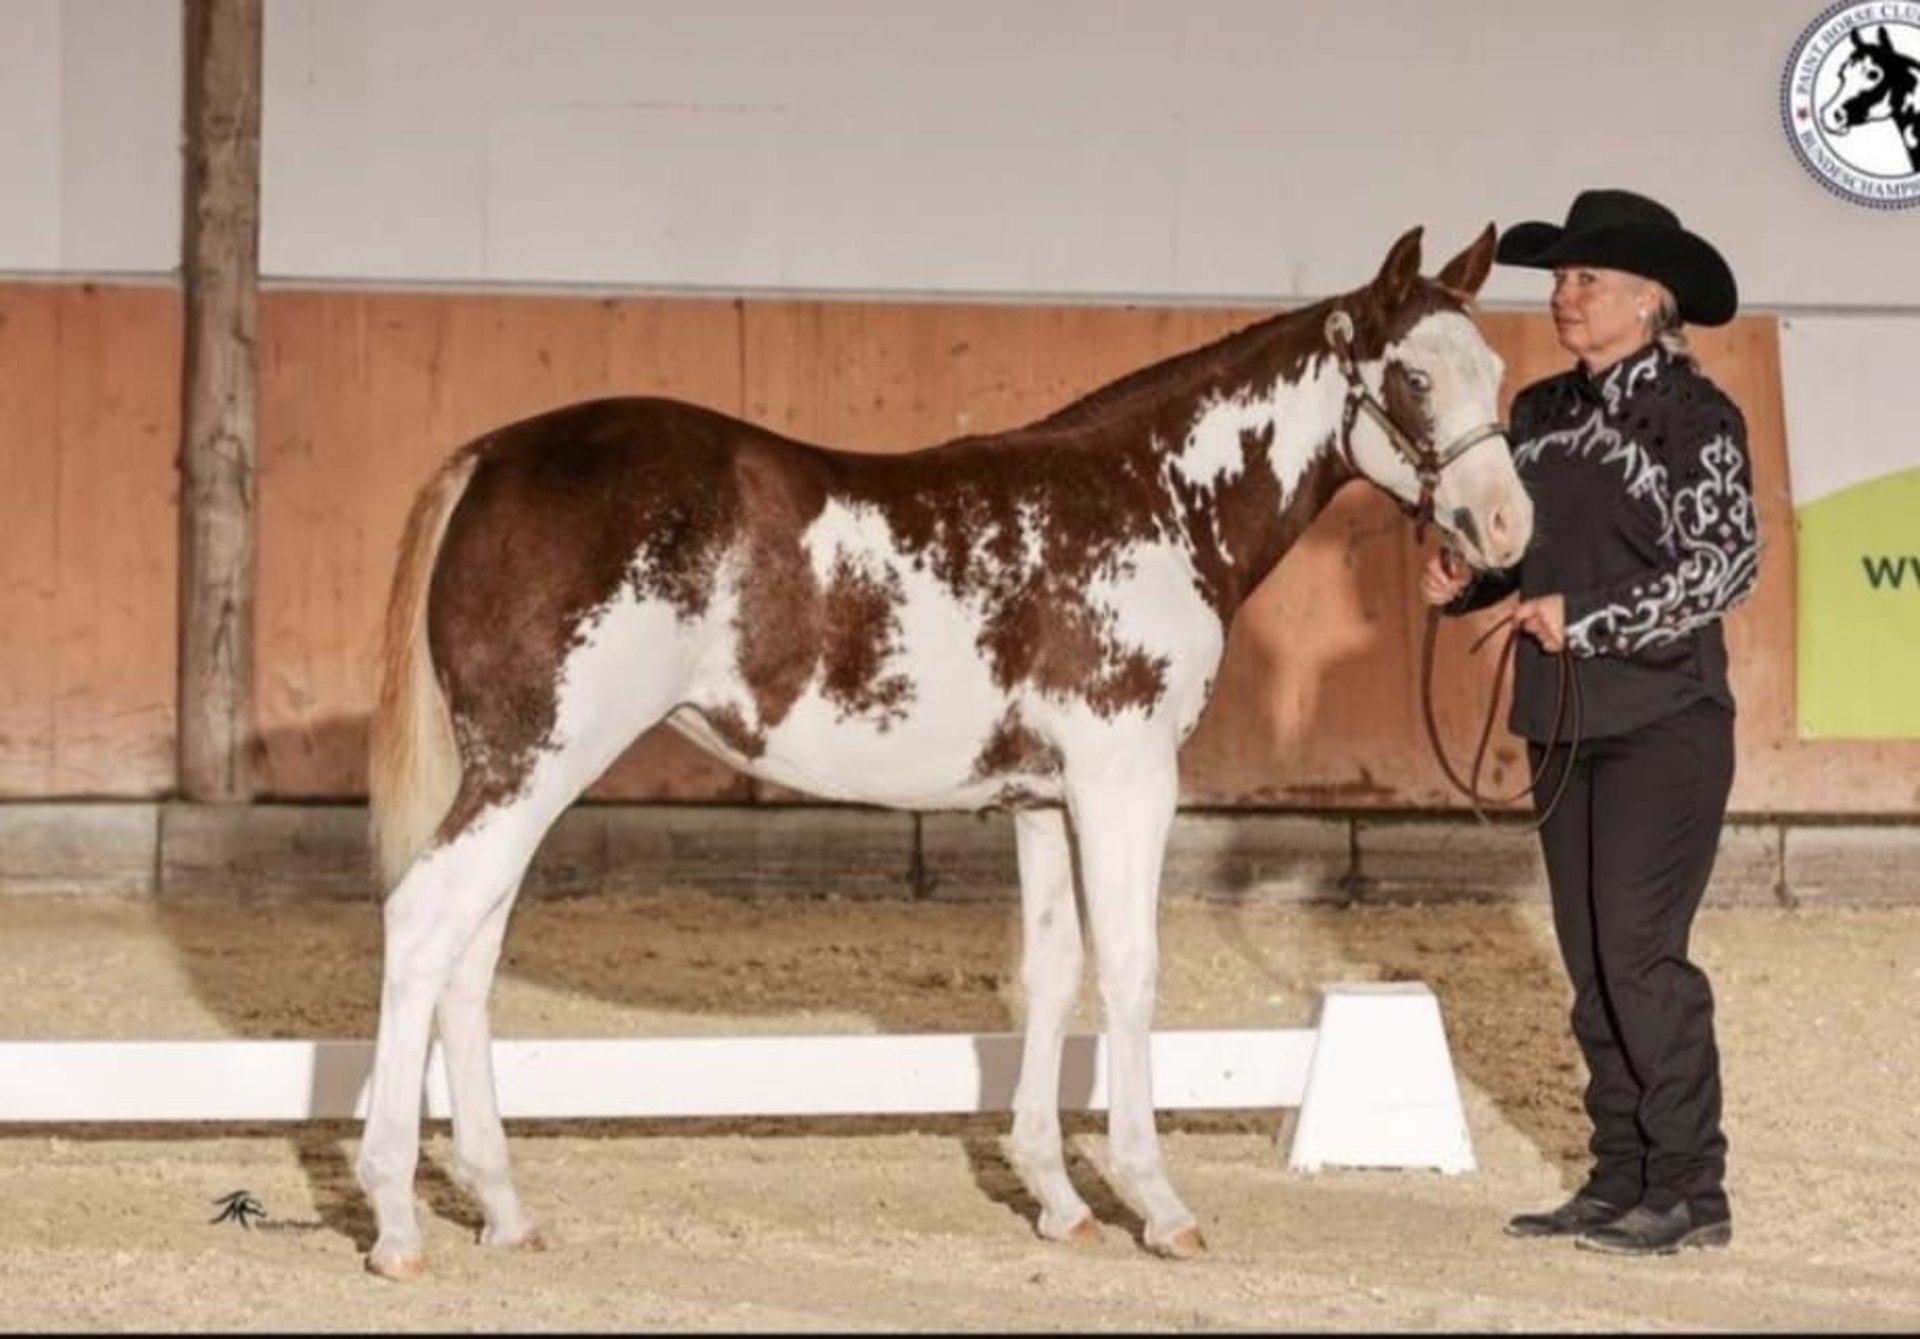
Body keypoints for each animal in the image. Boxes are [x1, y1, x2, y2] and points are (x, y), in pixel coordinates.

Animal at [354, 223, 1533, 1280]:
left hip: (521, 776)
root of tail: (490, 459)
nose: (1507, 528)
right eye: (1416, 377)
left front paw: (1060, 1200)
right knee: (422, 926)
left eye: (1499, 373)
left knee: (468, 955)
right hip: (532, 765)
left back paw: (503, 1211)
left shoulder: (1043, 798)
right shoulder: (1126, 779)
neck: (1155, 501)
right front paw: (1157, 1204)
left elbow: (1053, 972)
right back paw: (397, 1225)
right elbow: (1132, 969)